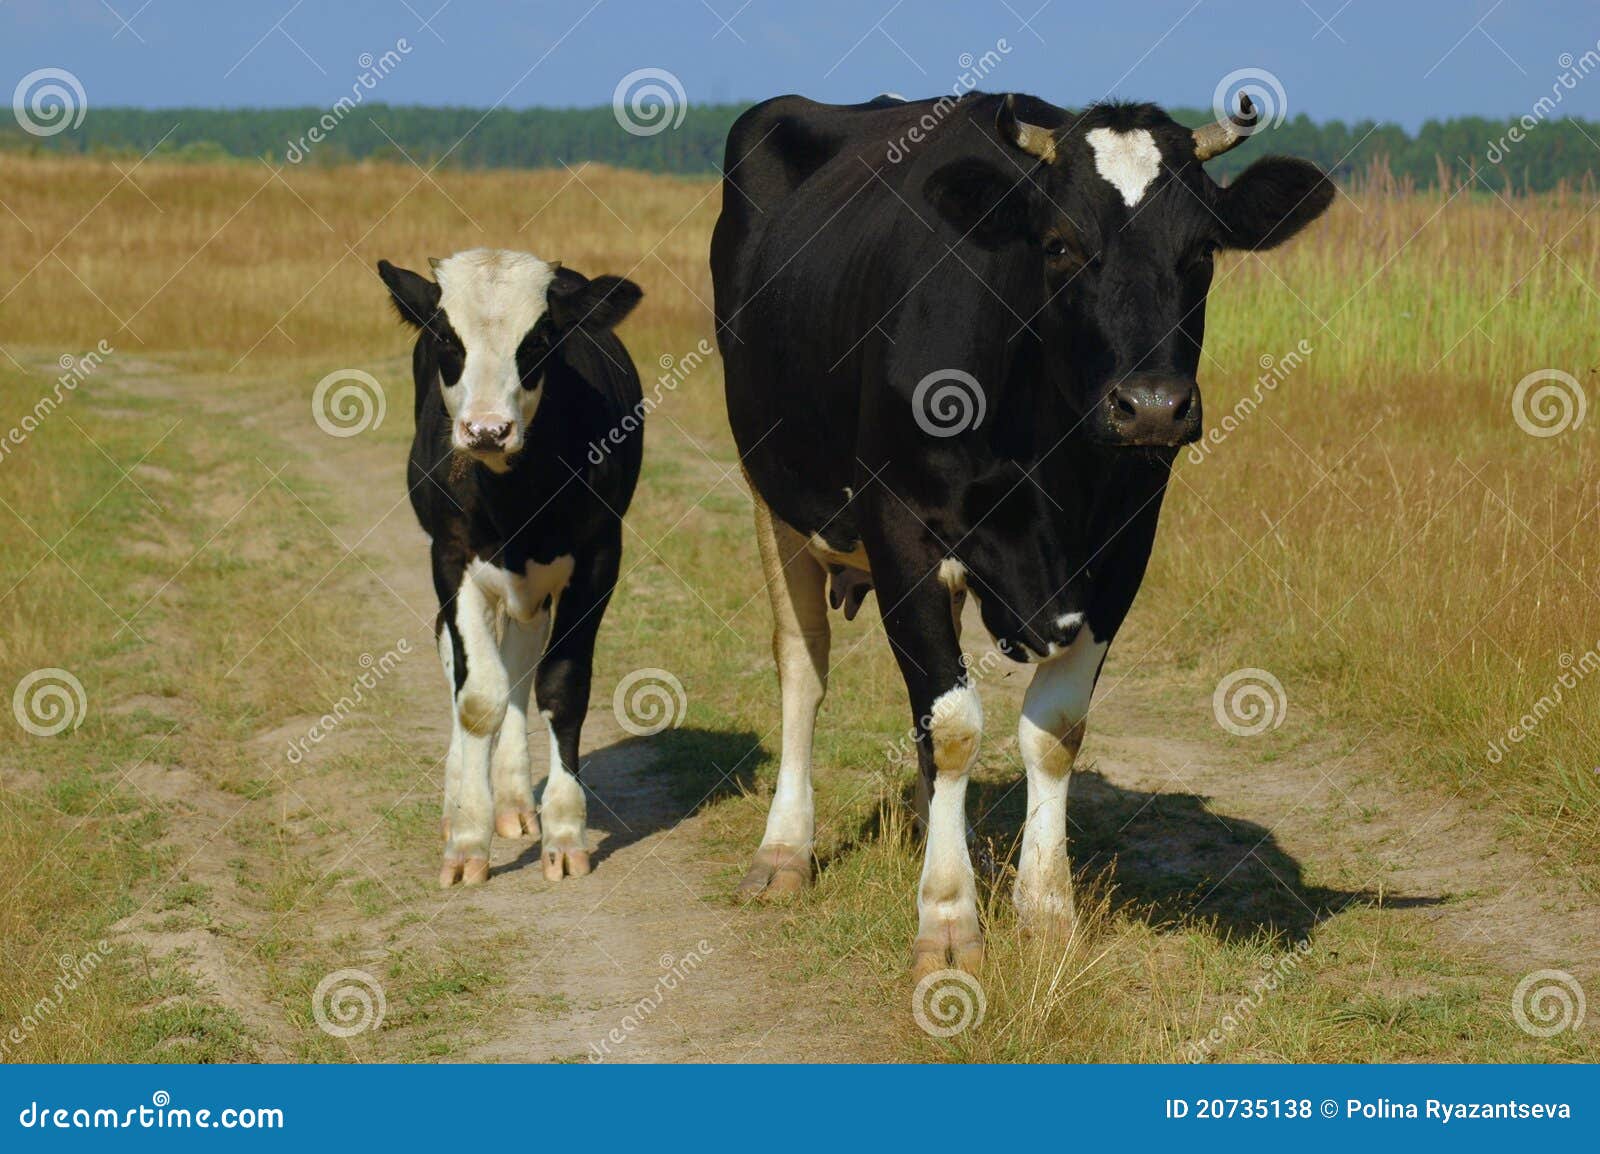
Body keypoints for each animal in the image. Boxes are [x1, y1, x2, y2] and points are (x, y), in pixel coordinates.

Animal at [377, 248, 643, 887]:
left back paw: (518, 800)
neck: (514, 498)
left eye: (541, 338)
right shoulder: (449, 555)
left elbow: (561, 687)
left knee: (522, 662)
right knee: (461, 660)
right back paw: (459, 801)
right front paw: (466, 838)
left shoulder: (600, 556)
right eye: (447, 337)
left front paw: (564, 831)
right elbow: (477, 697)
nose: (487, 429)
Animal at [709, 92, 1332, 977]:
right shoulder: (901, 526)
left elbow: (1053, 730)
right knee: (803, 668)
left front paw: (1044, 908)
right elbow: (955, 726)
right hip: (773, 489)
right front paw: (946, 919)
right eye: (1061, 244)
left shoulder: (1124, 548)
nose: (1151, 405)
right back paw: (784, 852)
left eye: (1203, 248)